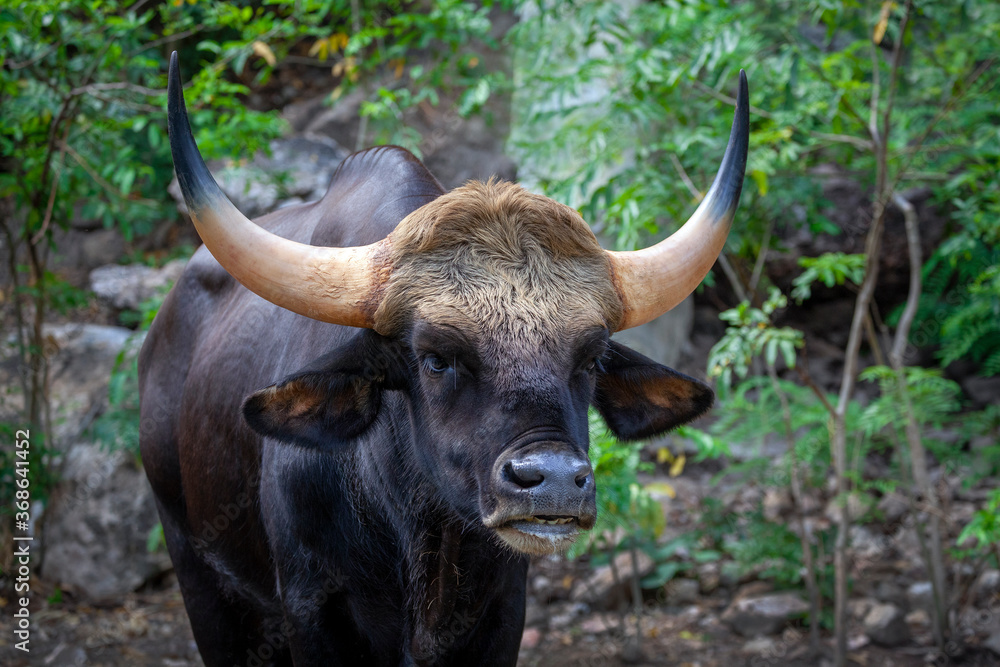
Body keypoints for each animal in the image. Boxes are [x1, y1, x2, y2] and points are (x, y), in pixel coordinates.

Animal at [139, 51, 748, 665]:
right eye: (434, 358)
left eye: (591, 360)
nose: (552, 480)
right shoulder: (310, 611)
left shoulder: (505, 612)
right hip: (200, 576)